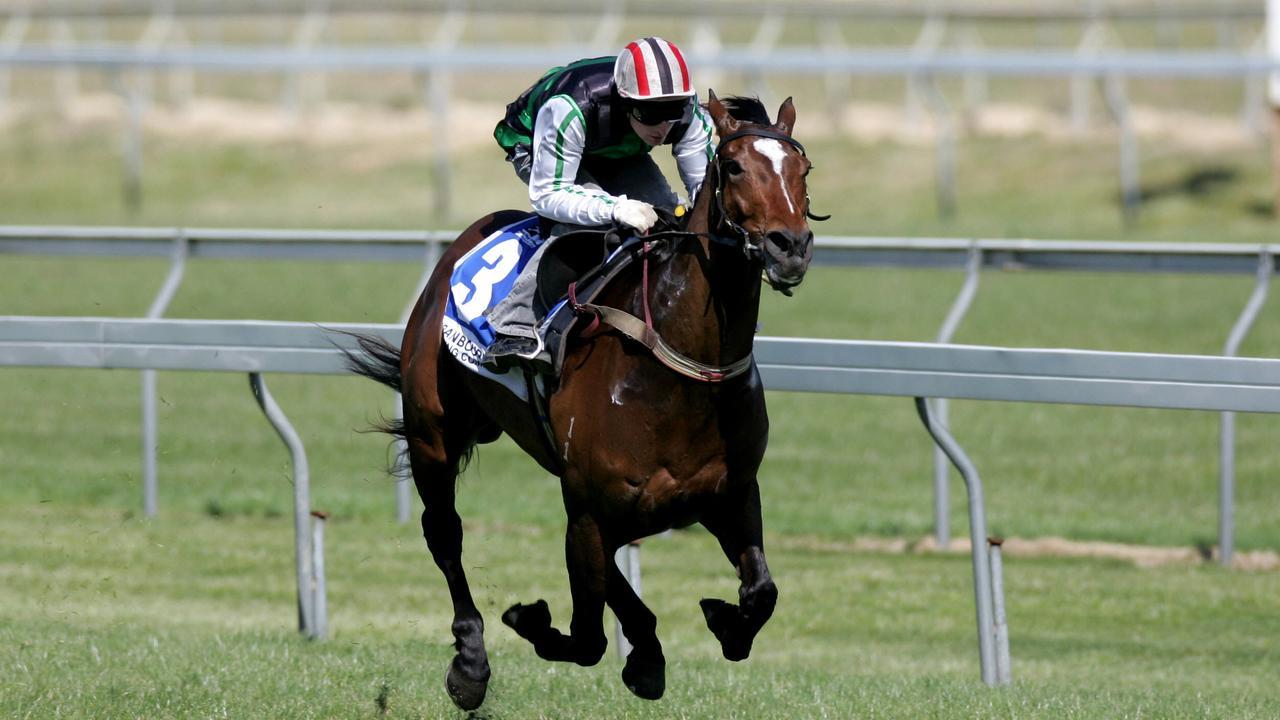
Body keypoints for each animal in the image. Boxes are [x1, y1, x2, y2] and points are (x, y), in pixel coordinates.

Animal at [345, 91, 820, 710]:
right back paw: (471, 664)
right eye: (736, 166)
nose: (790, 248)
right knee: (445, 535)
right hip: (433, 436)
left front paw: (712, 625)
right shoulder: (594, 505)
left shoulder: (730, 495)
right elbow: (588, 637)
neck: (680, 369)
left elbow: (761, 591)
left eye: (804, 169)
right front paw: (532, 623)